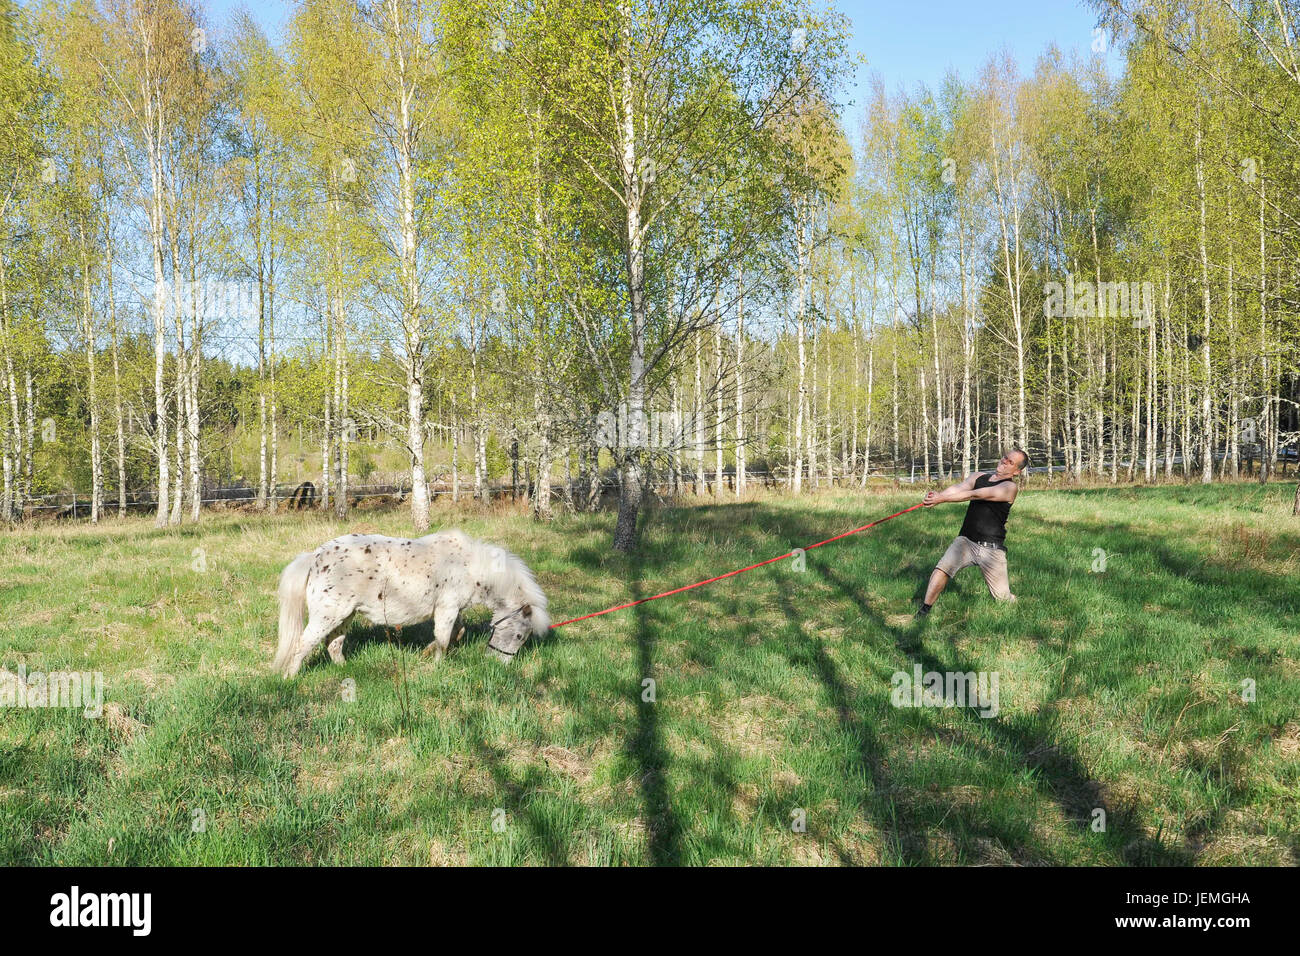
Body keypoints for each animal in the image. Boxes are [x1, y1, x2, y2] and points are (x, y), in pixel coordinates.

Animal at [272, 529, 551, 677]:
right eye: (519, 636)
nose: (499, 664)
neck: (470, 566)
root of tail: (315, 557)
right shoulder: (447, 608)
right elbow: (443, 638)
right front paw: (437, 665)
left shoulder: (454, 610)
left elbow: (457, 632)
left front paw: (428, 652)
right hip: (328, 615)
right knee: (303, 644)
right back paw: (290, 678)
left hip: (345, 615)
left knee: (333, 644)